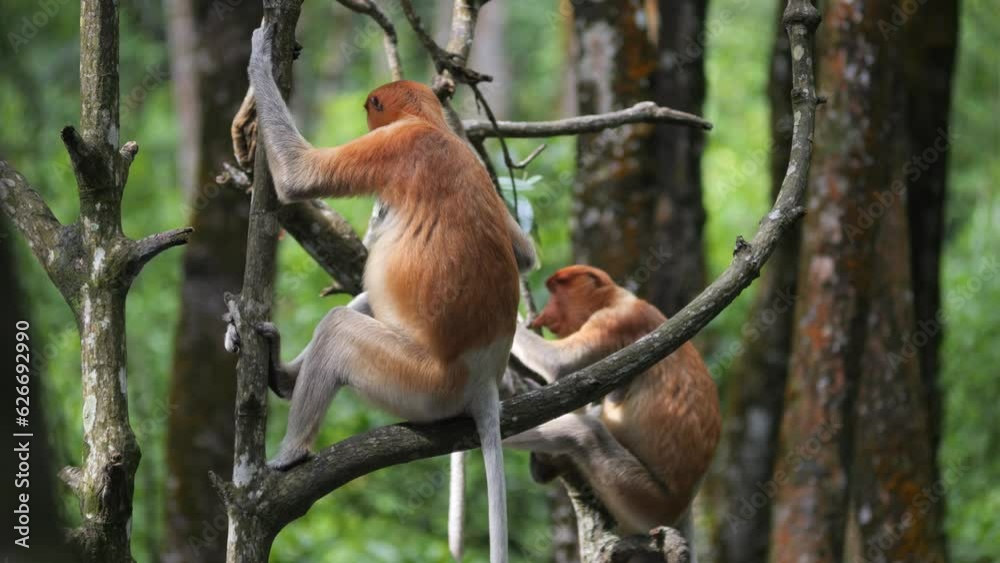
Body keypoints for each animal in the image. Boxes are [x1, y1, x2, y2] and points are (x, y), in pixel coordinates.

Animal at [239, 24, 536, 563]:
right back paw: (278, 372)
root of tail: (484, 377)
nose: (365, 112)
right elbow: (523, 255)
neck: (429, 124)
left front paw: (259, 60)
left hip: (421, 384)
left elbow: (298, 177)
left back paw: (289, 456)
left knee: (340, 329)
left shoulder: (393, 145)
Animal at [503, 265, 721, 536]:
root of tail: (681, 505)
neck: (615, 298)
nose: (545, 312)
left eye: (556, 291)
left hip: (644, 500)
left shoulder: (613, 321)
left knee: (585, 435)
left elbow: (560, 364)